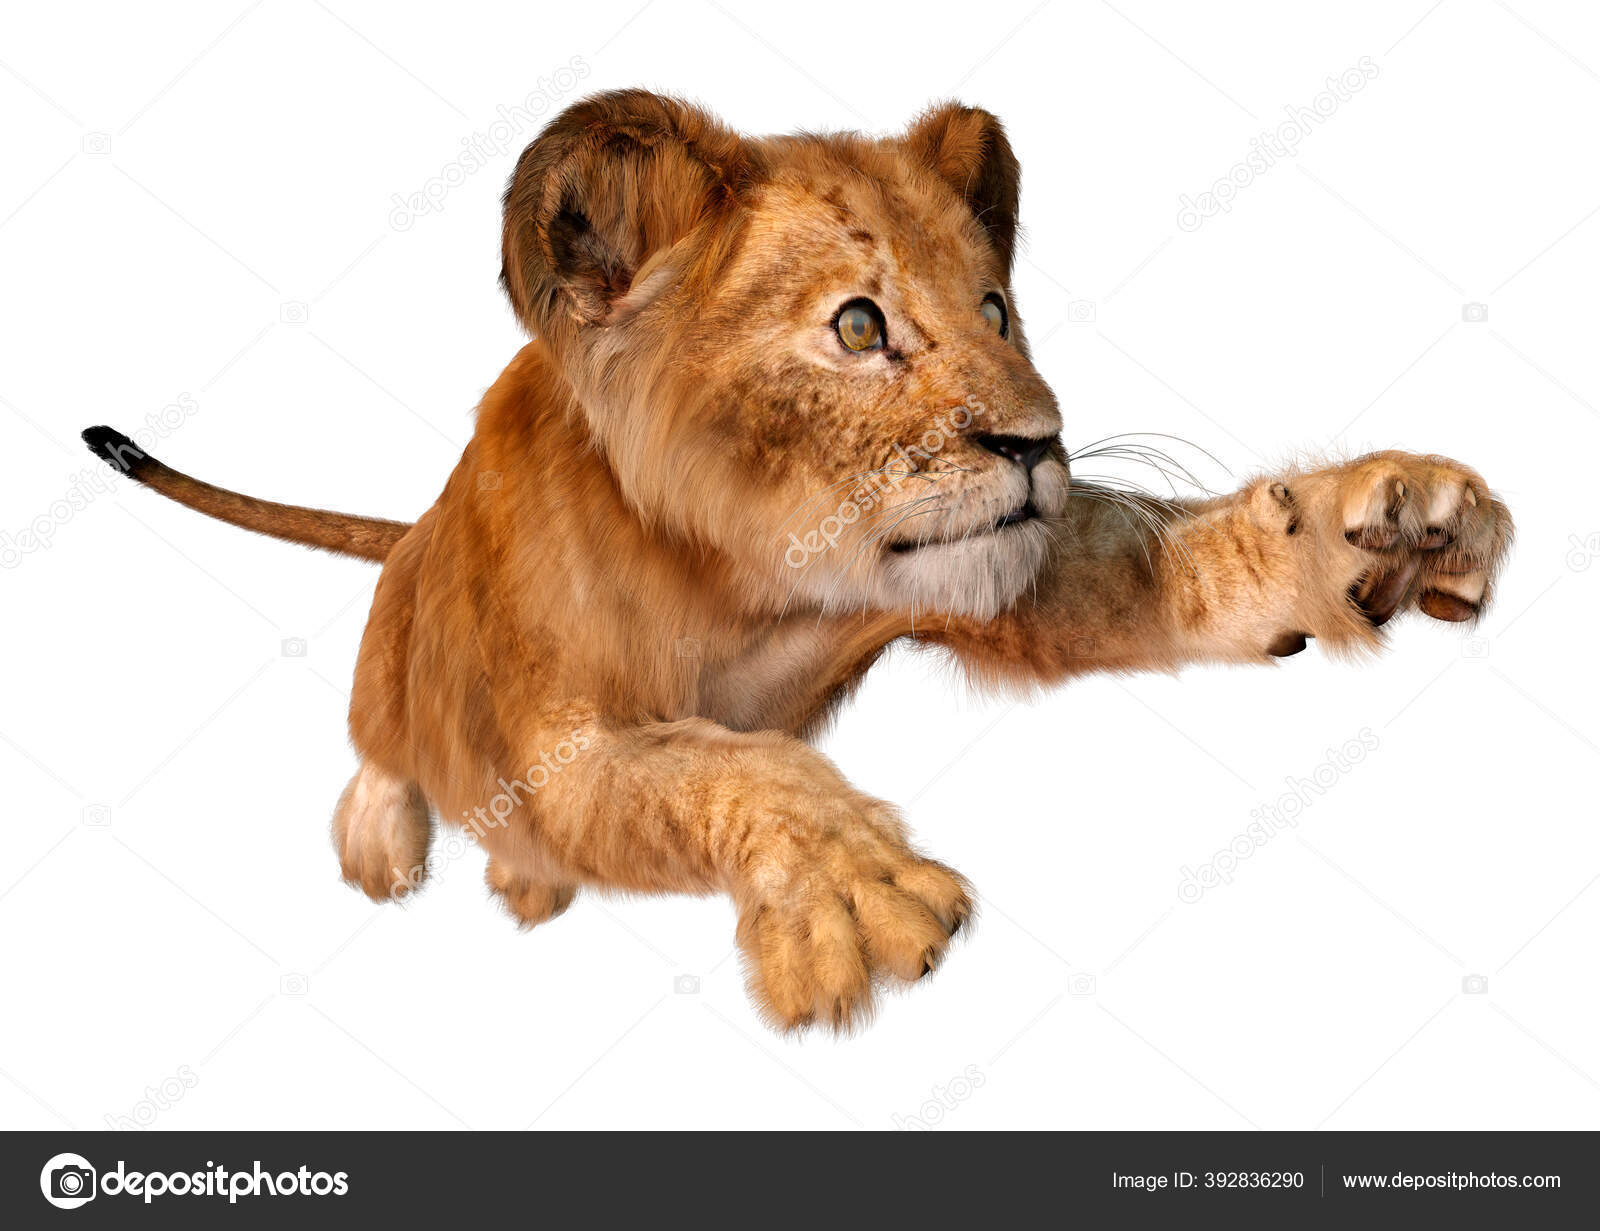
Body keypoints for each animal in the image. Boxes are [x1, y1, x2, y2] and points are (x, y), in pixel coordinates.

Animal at [82, 89, 1512, 1032]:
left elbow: (1182, 559)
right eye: (860, 326)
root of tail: (416, 532)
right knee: (385, 737)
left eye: (995, 309)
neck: (741, 579)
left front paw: (1394, 517)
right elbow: (720, 768)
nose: (1036, 443)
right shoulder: (556, 748)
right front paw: (857, 891)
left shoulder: (988, 574)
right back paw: (392, 841)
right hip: (402, 652)